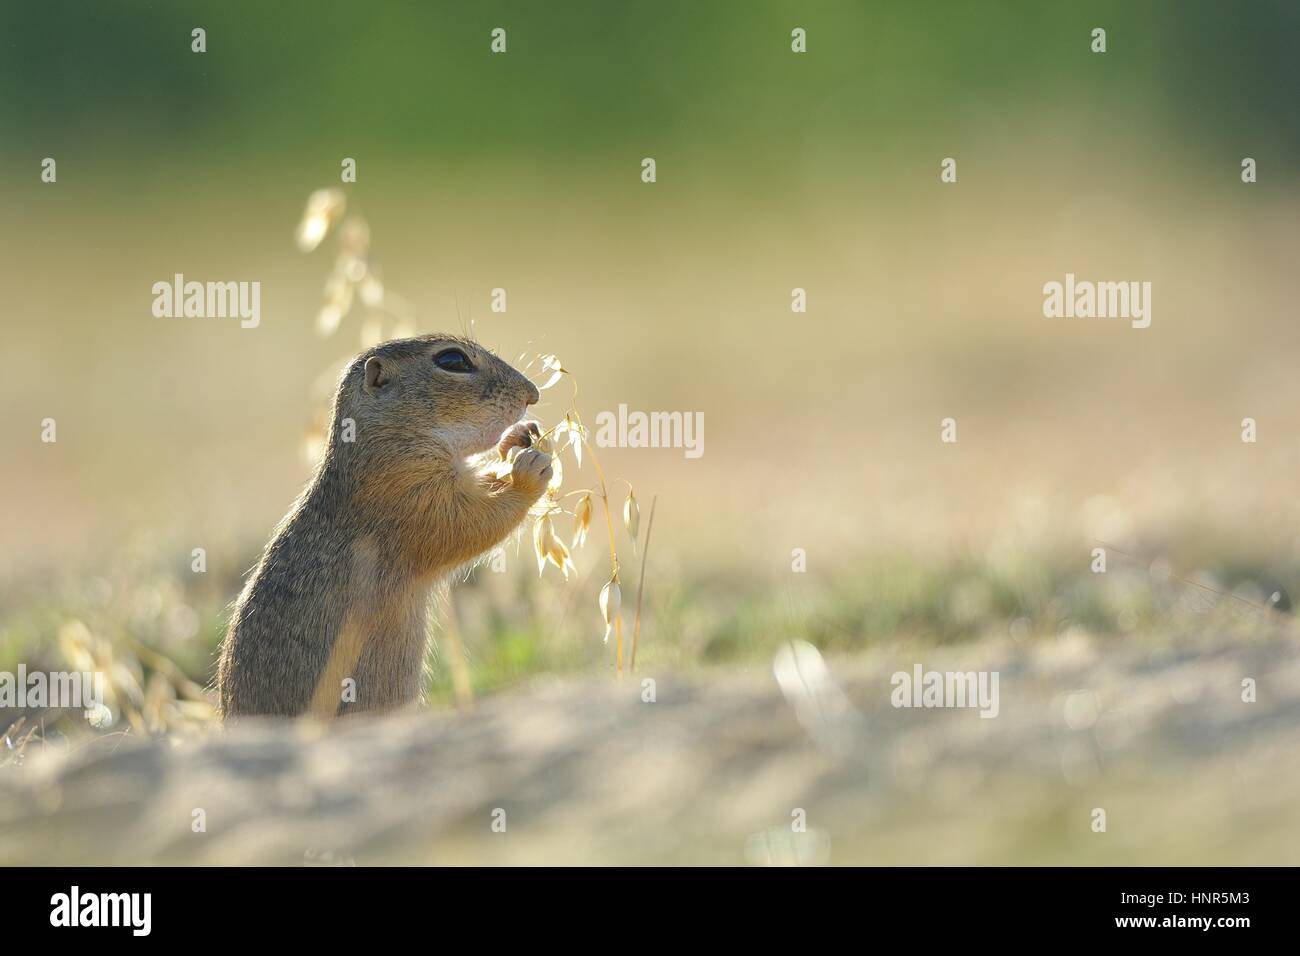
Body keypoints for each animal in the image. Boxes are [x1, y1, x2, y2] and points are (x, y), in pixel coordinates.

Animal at [216, 335, 550, 719]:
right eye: (452, 360)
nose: (532, 394)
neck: (384, 438)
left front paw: (518, 439)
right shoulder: (410, 494)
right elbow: (467, 522)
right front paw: (529, 471)